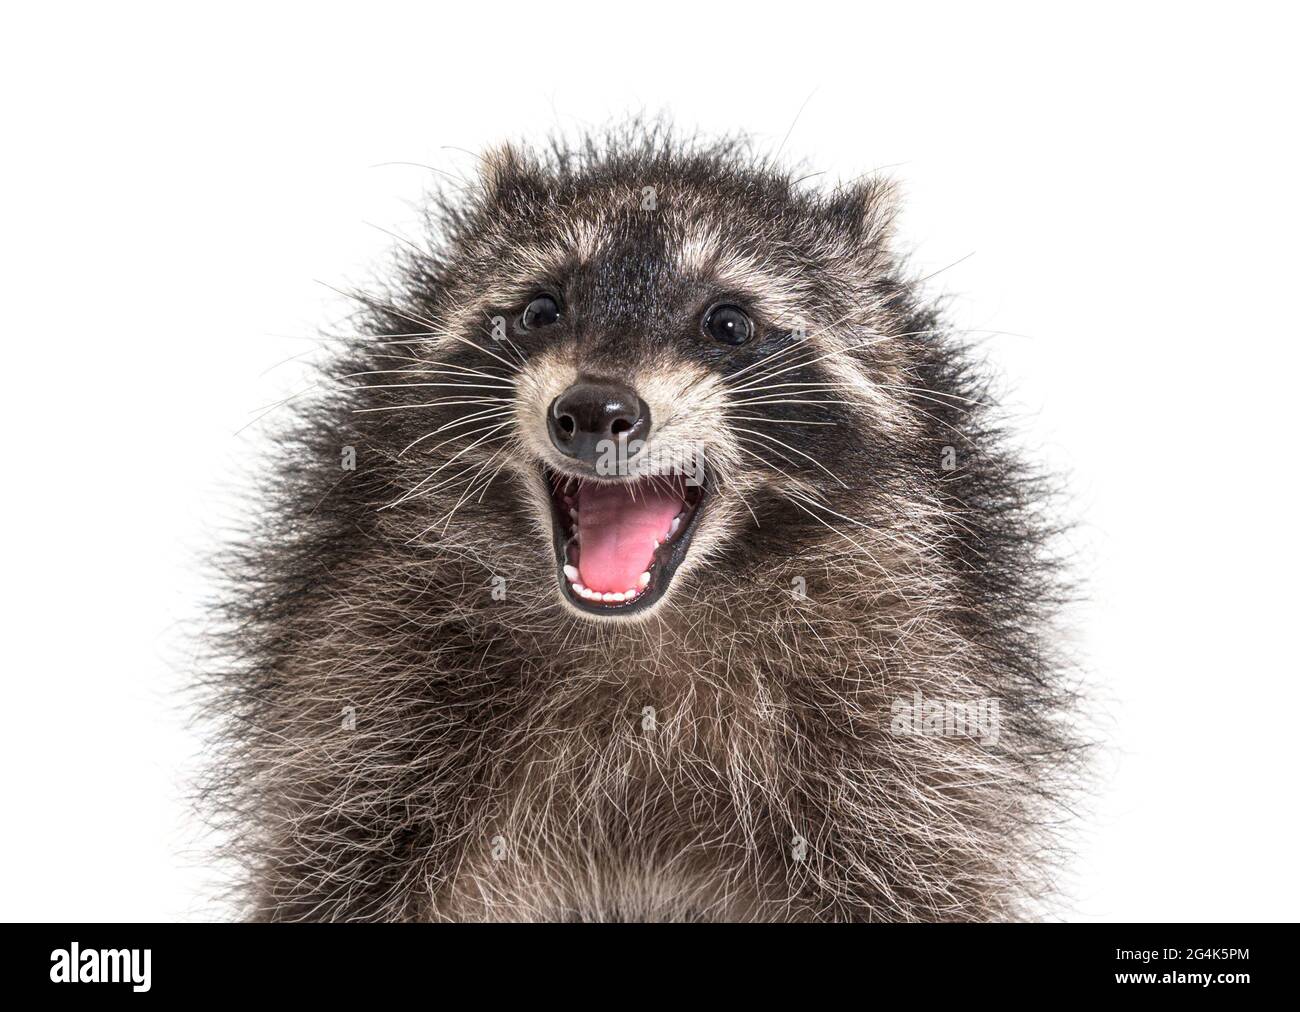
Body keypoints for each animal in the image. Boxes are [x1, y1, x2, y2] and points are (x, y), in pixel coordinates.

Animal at [201, 127, 1079, 922]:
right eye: (540, 310)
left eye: (728, 324)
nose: (595, 408)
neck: (638, 630)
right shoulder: (373, 690)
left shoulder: (905, 725)